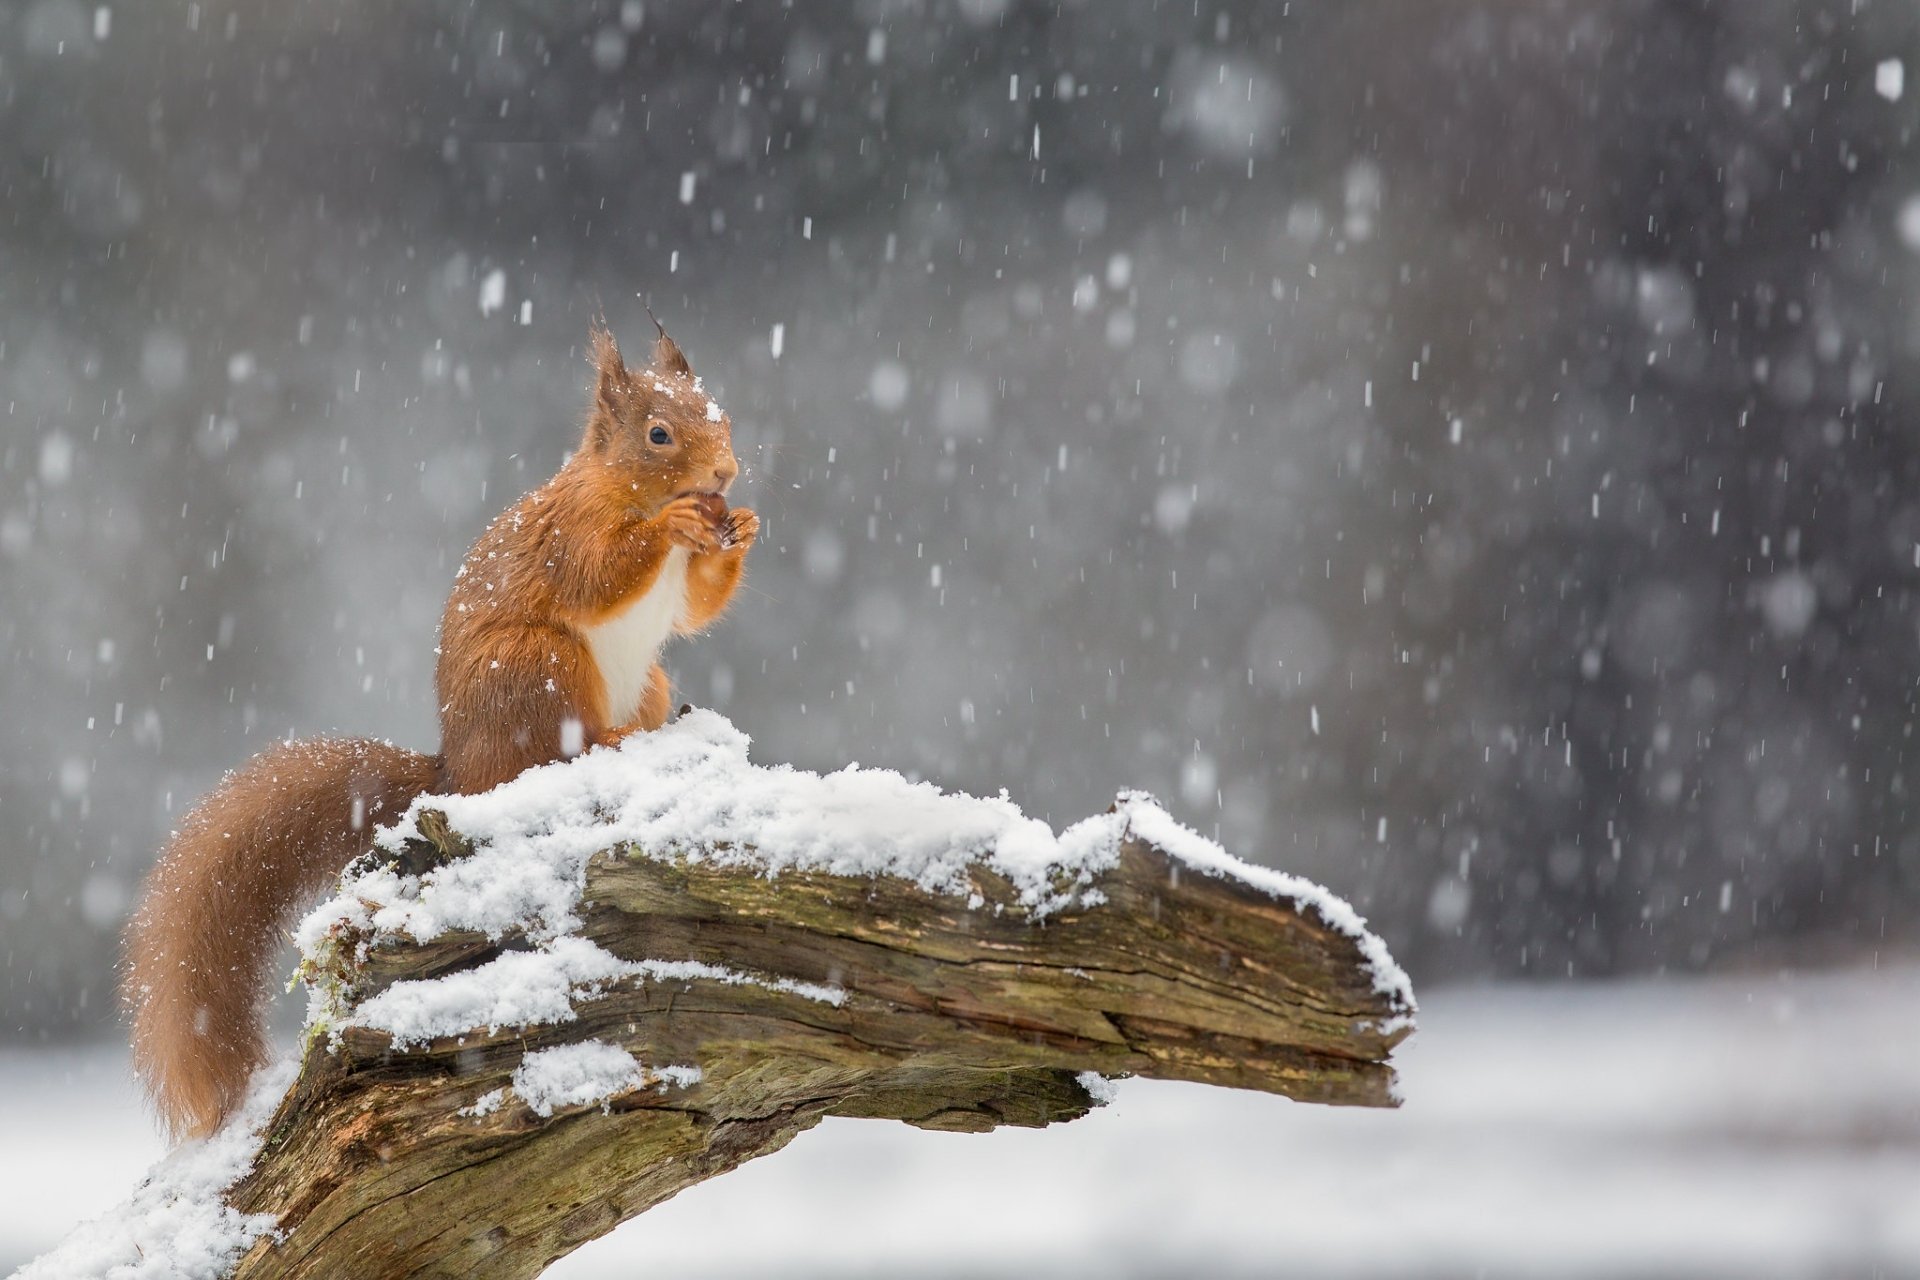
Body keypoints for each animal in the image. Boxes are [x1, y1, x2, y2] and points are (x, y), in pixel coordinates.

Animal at [120, 320, 757, 1140]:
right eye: (658, 434)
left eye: (724, 415)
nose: (727, 471)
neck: (619, 487)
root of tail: (454, 770)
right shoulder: (571, 533)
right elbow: (602, 571)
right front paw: (672, 524)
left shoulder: (680, 594)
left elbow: (695, 609)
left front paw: (742, 528)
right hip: (538, 665)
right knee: (540, 755)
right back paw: (603, 746)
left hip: (647, 682)